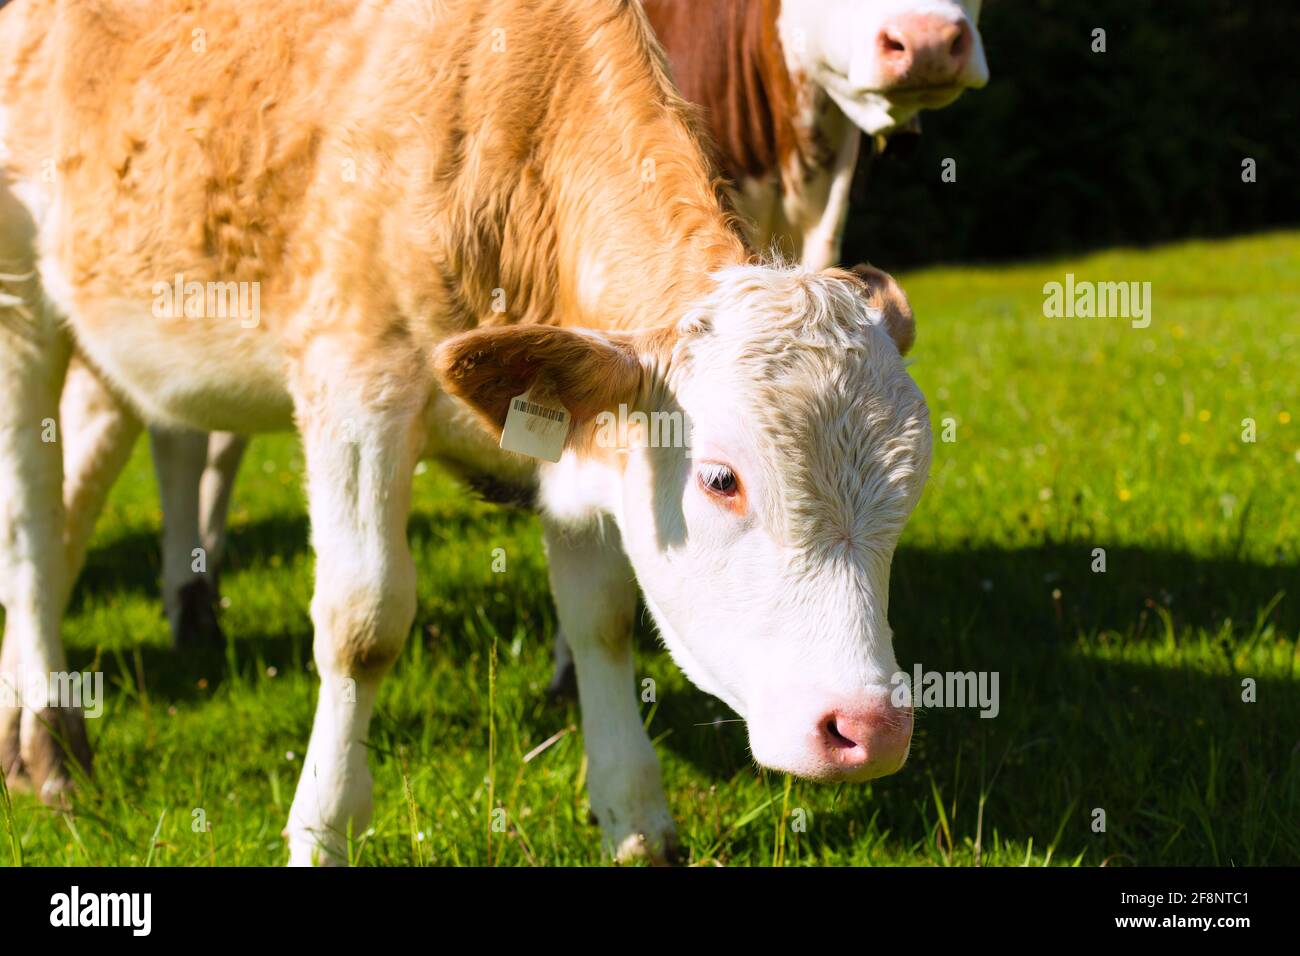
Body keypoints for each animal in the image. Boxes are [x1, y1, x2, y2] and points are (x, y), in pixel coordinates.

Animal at [0, 0, 931, 864]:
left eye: (909, 494)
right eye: (720, 478)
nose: (869, 727)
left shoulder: (579, 435)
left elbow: (601, 617)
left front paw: (636, 818)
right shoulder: (355, 384)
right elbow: (363, 621)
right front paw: (322, 826)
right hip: (23, 307)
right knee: (33, 525)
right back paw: (48, 740)